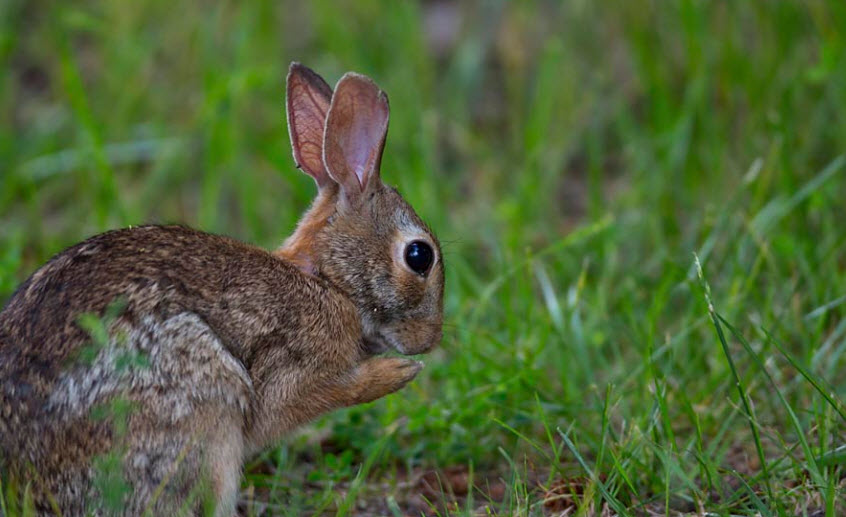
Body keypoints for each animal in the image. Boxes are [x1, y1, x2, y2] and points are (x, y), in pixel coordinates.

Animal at [0, 63, 444, 516]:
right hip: (199, 414)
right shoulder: (290, 368)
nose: (429, 341)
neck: (328, 280)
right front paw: (399, 373)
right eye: (419, 256)